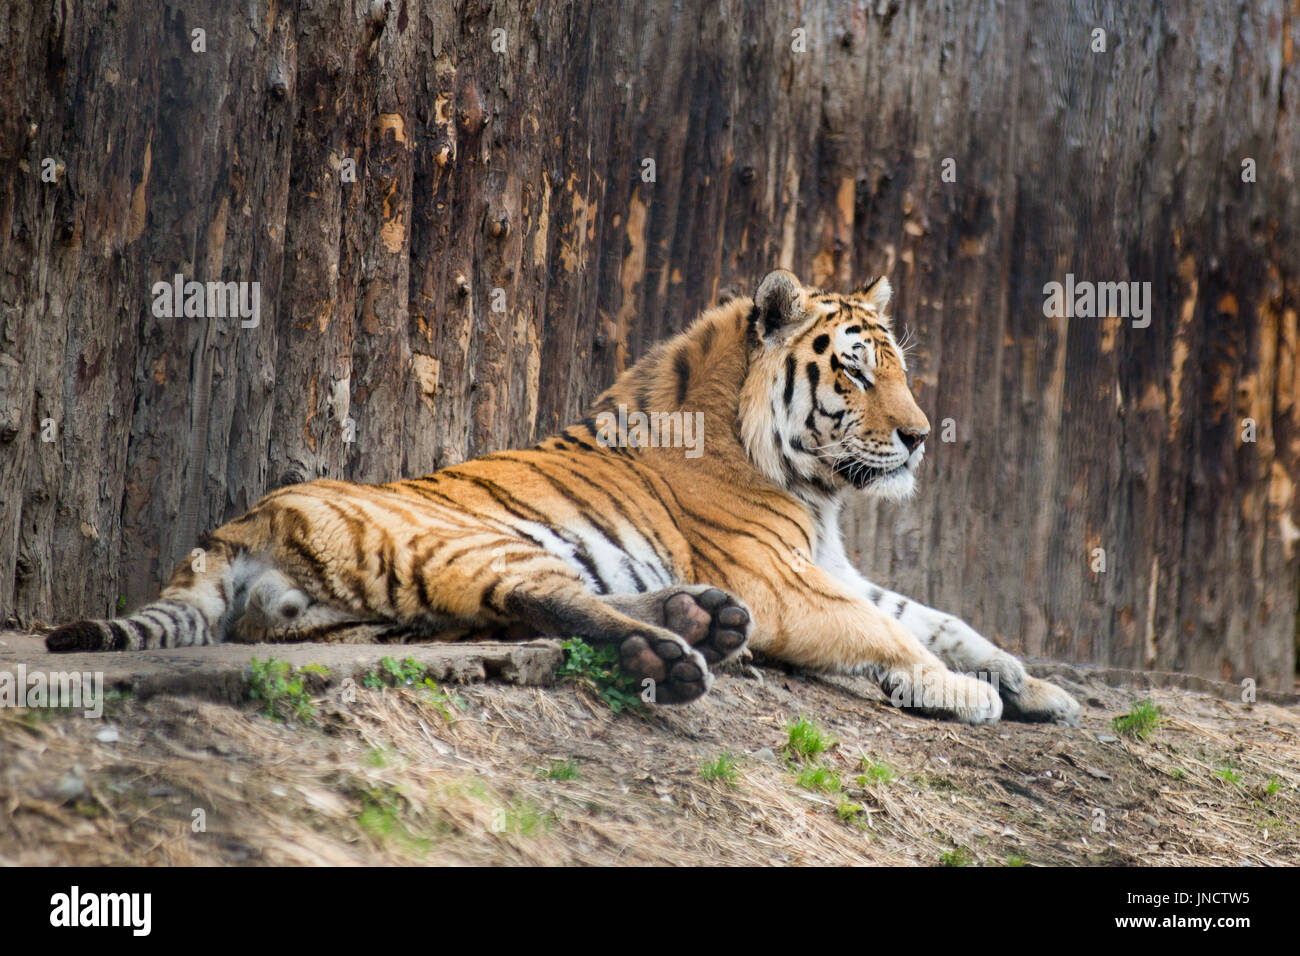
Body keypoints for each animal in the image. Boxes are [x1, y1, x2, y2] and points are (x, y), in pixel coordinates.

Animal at [45, 269, 1081, 724]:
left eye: (901, 369)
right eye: (860, 372)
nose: (919, 435)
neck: (810, 488)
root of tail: (242, 521)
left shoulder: (830, 569)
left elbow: (942, 618)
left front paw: (1033, 686)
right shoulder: (788, 581)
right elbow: (893, 634)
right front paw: (961, 692)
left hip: (385, 607)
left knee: (515, 614)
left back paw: (702, 623)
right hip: (478, 540)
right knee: (552, 602)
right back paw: (679, 652)